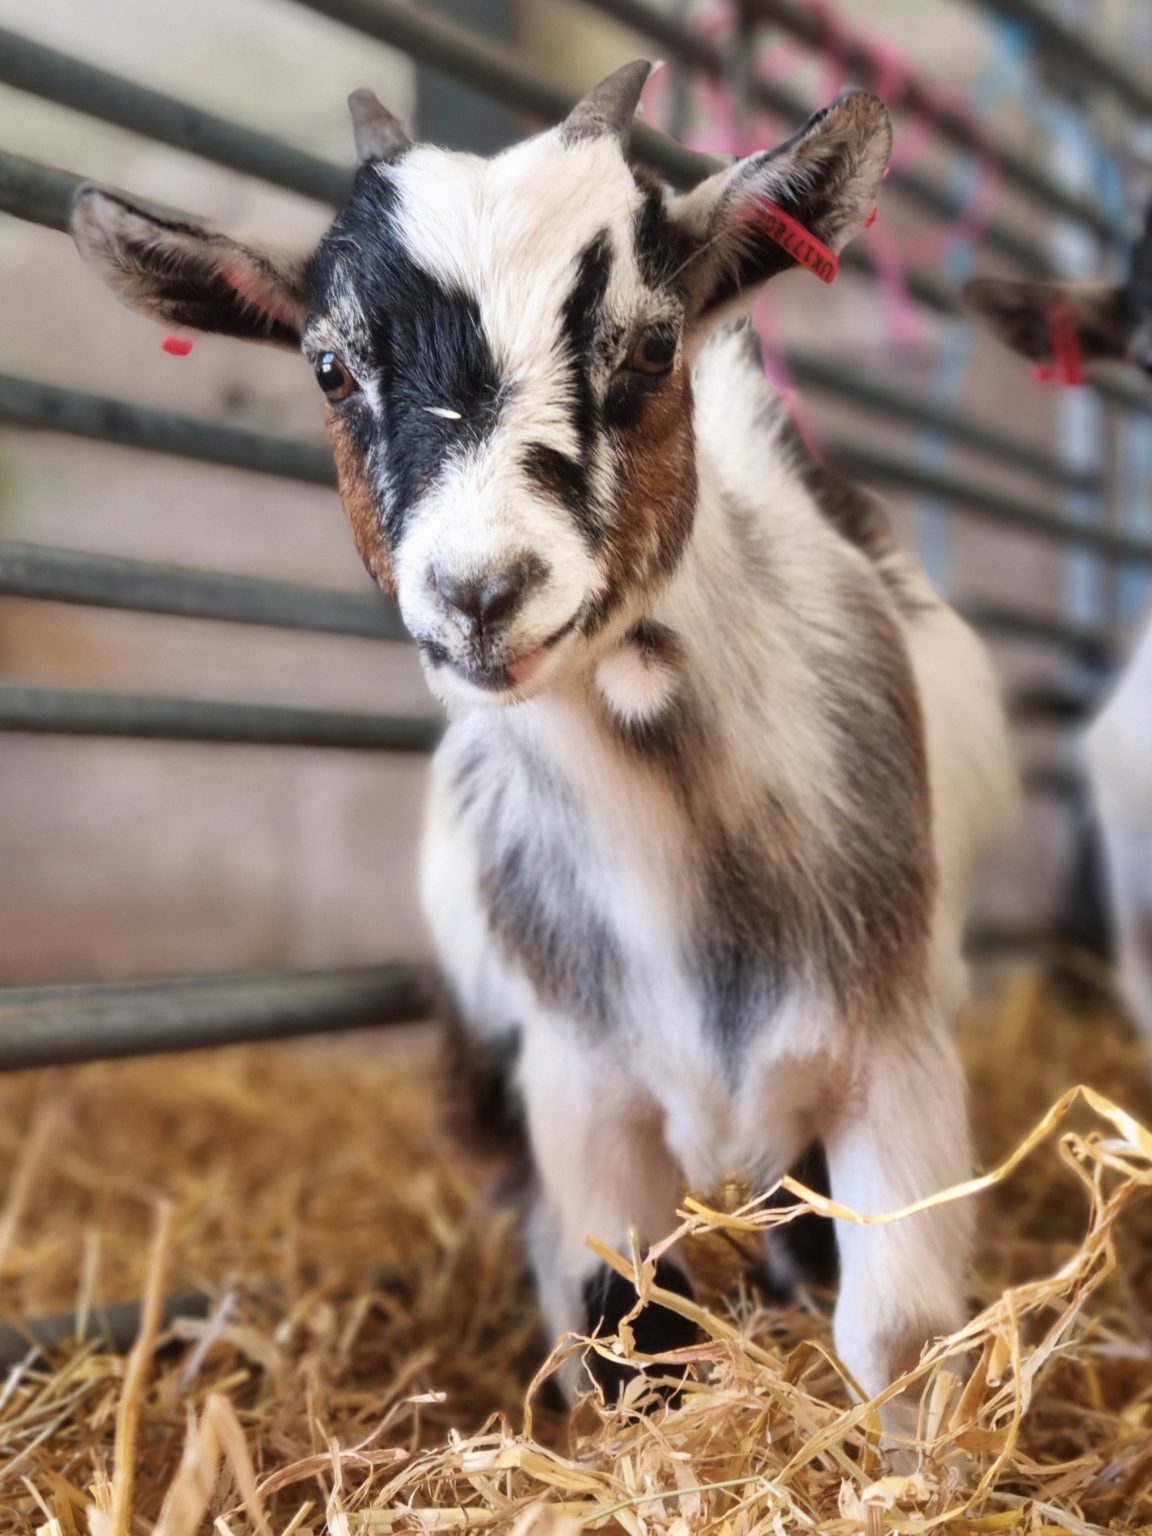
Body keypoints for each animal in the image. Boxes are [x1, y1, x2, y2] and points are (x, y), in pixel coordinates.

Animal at [70, 66, 1015, 1417]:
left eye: (654, 342)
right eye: (328, 368)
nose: (479, 591)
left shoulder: (892, 1058)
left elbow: (903, 1339)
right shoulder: (580, 1093)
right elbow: (624, 1339)